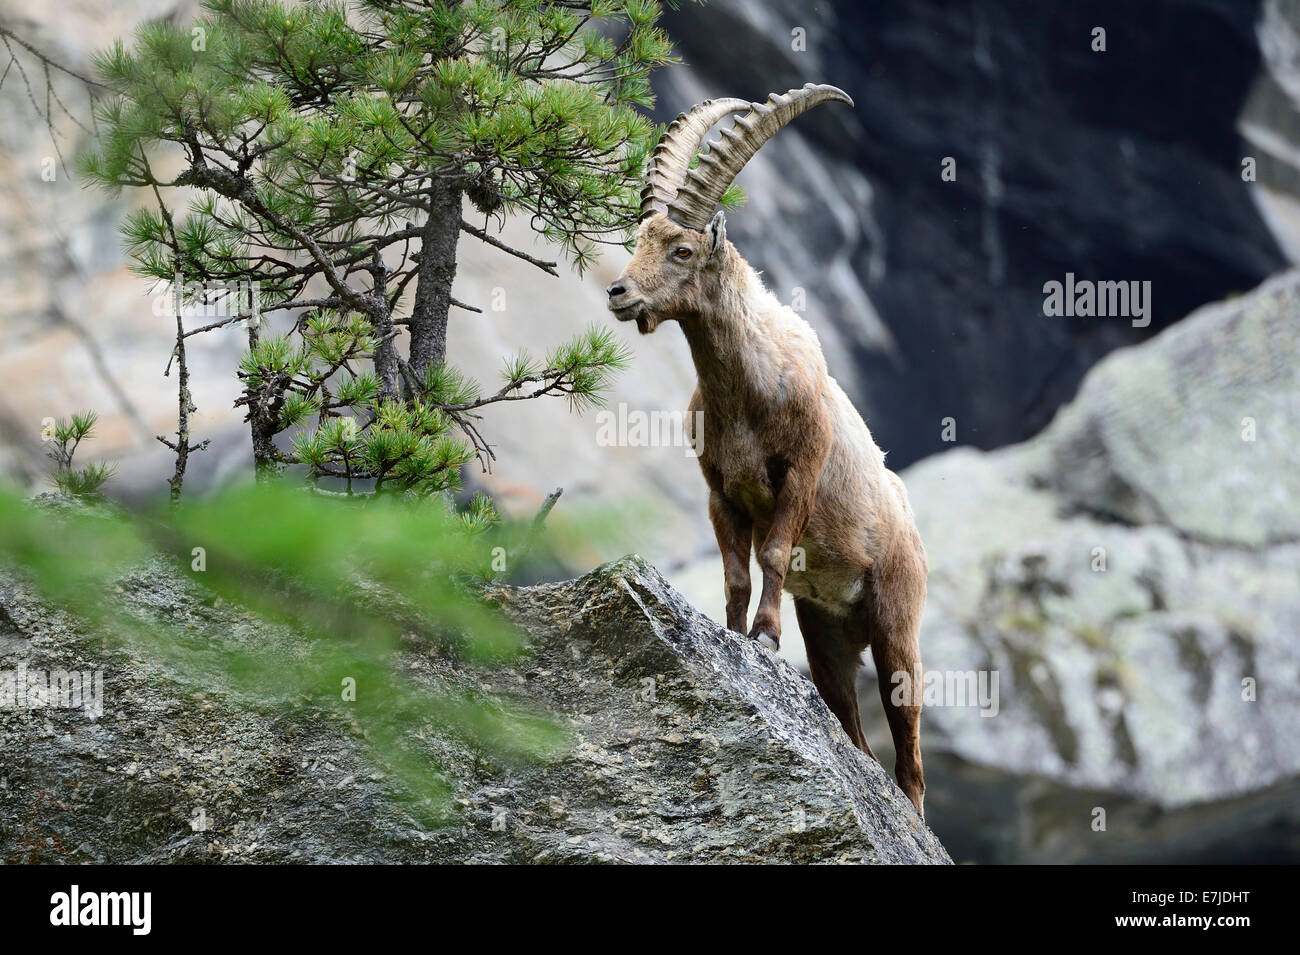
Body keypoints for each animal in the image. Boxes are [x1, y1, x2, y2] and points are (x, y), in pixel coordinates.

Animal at [606, 85, 928, 815]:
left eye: (682, 250)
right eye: (638, 240)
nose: (619, 292)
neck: (748, 389)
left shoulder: (798, 476)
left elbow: (776, 553)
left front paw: (764, 636)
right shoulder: (720, 490)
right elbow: (735, 573)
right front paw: (731, 636)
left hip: (897, 625)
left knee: (911, 762)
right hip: (831, 638)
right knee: (856, 735)